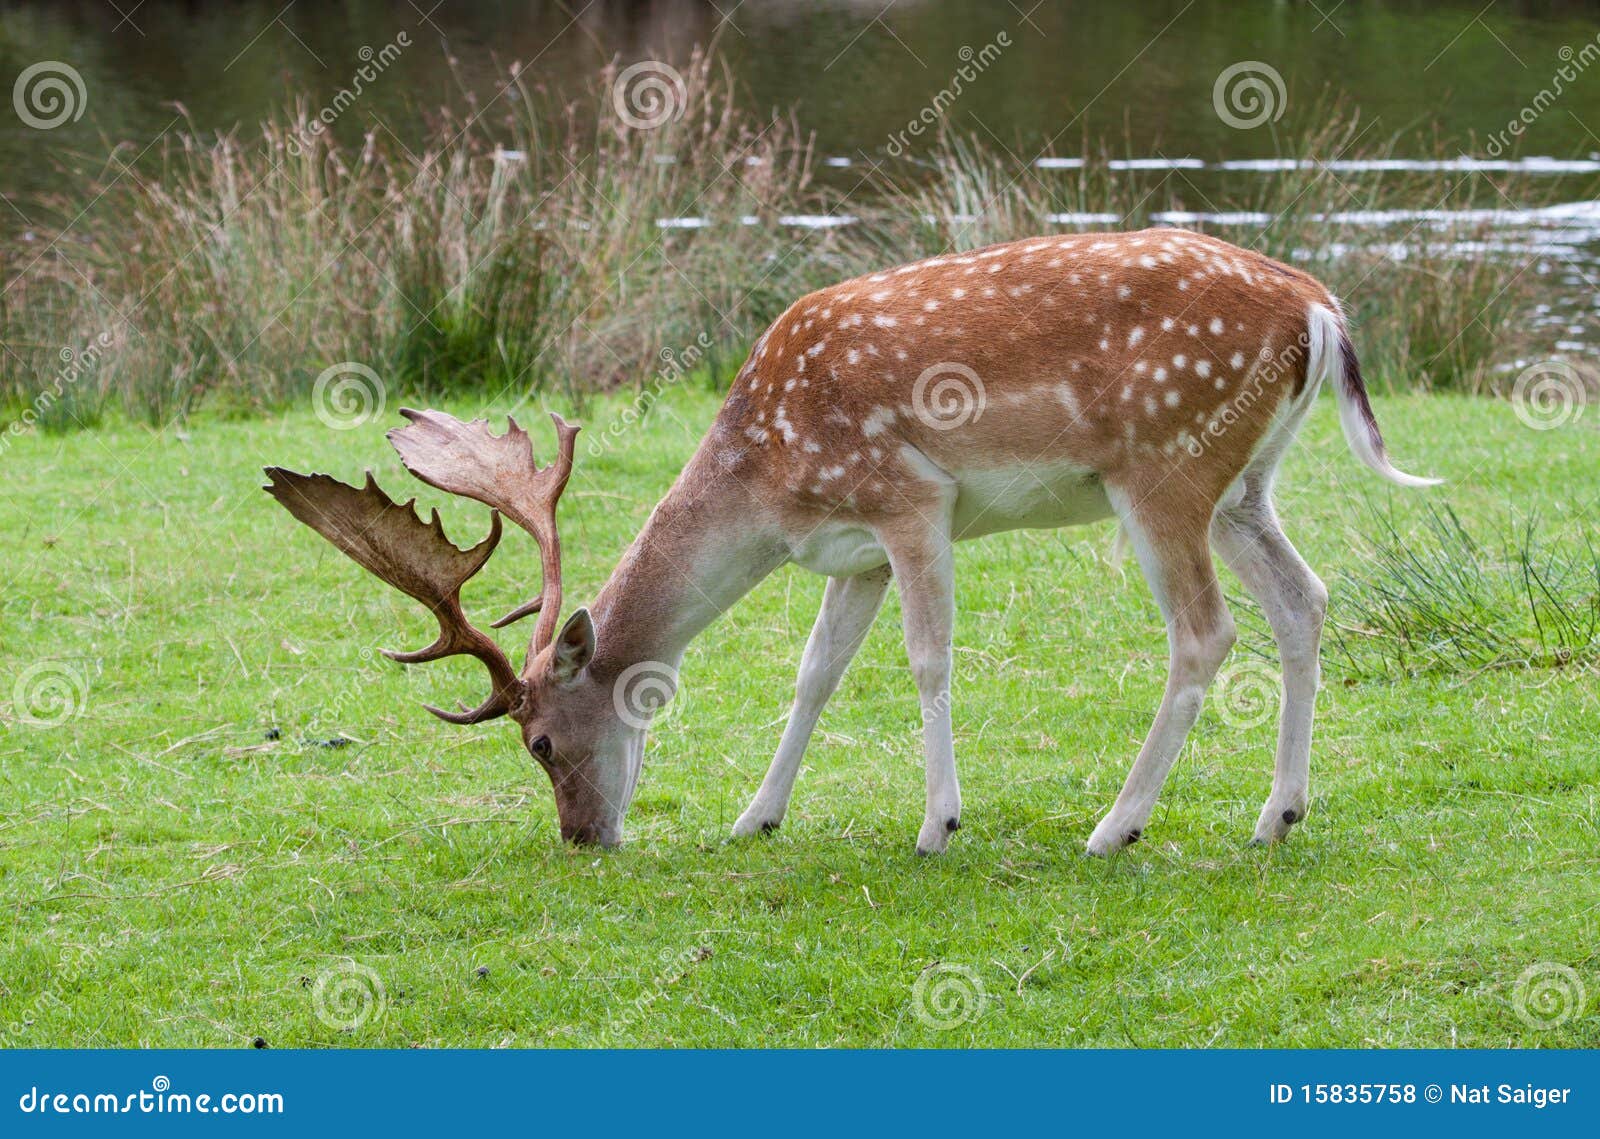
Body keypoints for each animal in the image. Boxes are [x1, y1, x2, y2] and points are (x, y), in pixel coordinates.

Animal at [266, 227, 1437, 856]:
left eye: (542, 742)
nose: (583, 835)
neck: (770, 479)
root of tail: (1321, 308)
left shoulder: (909, 497)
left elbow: (927, 657)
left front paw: (937, 823)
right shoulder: (853, 550)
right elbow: (816, 671)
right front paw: (755, 817)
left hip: (1162, 466)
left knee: (1206, 632)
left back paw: (1115, 825)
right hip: (1242, 485)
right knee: (1304, 599)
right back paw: (1277, 813)